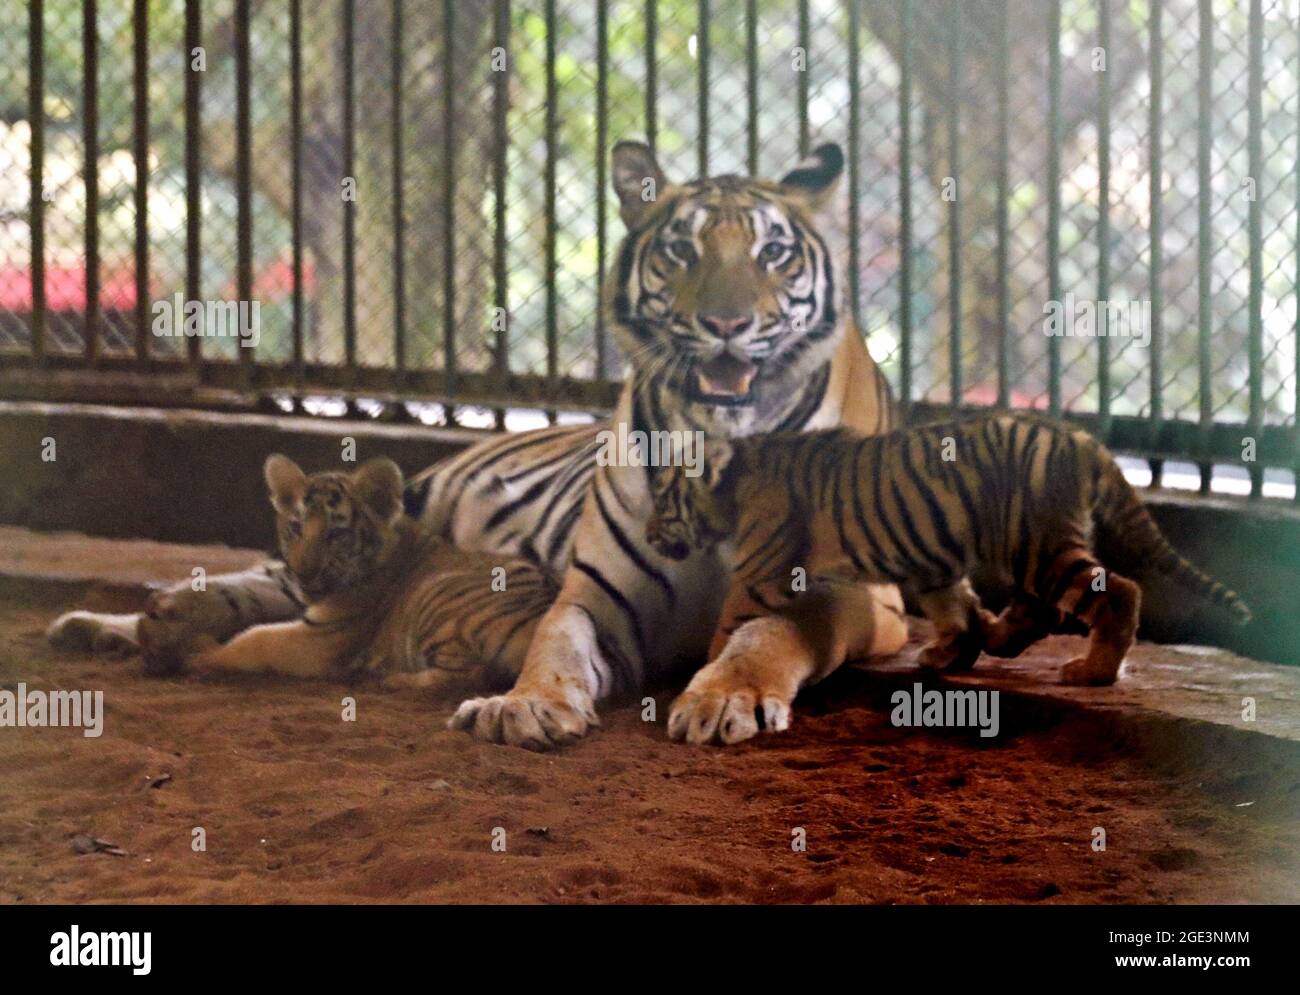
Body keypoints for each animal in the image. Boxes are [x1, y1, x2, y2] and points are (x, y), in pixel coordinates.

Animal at [48, 139, 907, 747]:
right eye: (681, 251)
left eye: (773, 253)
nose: (726, 323)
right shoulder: (592, 595)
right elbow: (553, 646)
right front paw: (522, 706)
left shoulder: (858, 595)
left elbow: (766, 633)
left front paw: (724, 696)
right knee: (272, 581)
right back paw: (123, 622)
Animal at [644, 413, 1251, 694]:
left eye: (663, 502)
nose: (649, 535)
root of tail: (1079, 437)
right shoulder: (930, 564)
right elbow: (955, 607)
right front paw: (952, 652)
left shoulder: (756, 574)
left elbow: (726, 629)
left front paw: (701, 677)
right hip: (1035, 545)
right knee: (1042, 608)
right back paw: (1006, 638)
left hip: (1038, 544)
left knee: (1117, 591)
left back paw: (1092, 670)